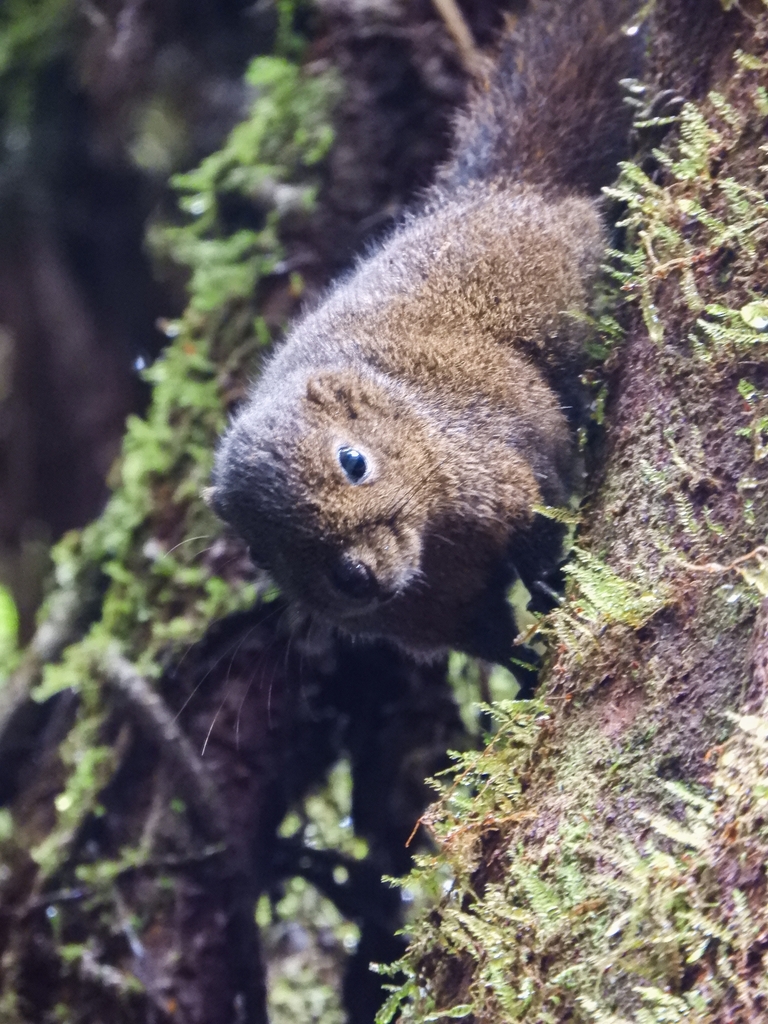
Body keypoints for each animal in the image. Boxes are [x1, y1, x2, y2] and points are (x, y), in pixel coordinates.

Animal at [209, 0, 641, 673]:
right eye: (263, 550)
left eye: (353, 461)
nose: (355, 577)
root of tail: (501, 191)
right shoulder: (437, 616)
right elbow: (492, 641)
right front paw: (526, 676)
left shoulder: (497, 468)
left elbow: (538, 524)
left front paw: (549, 583)